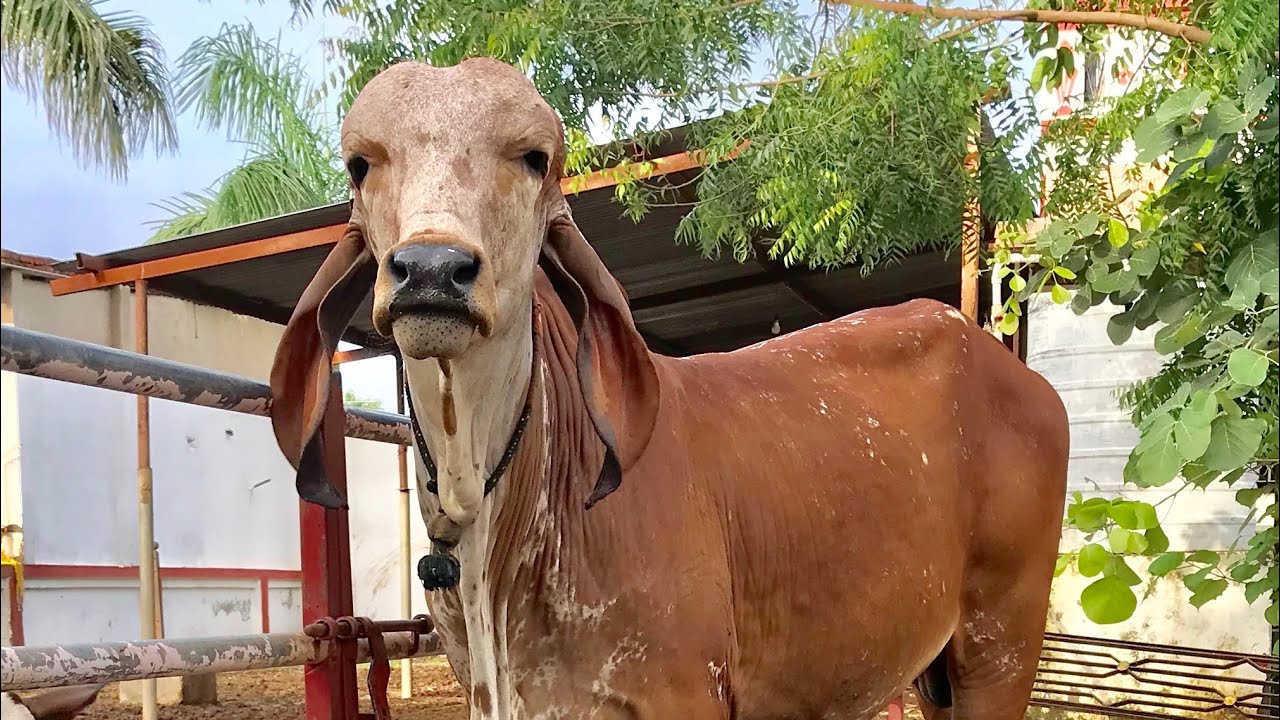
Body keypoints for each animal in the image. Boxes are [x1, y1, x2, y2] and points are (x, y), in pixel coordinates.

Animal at [270, 58, 1070, 720]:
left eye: (533, 159)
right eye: (360, 165)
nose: (432, 270)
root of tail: (1015, 371)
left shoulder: (680, 692)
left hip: (1000, 642)